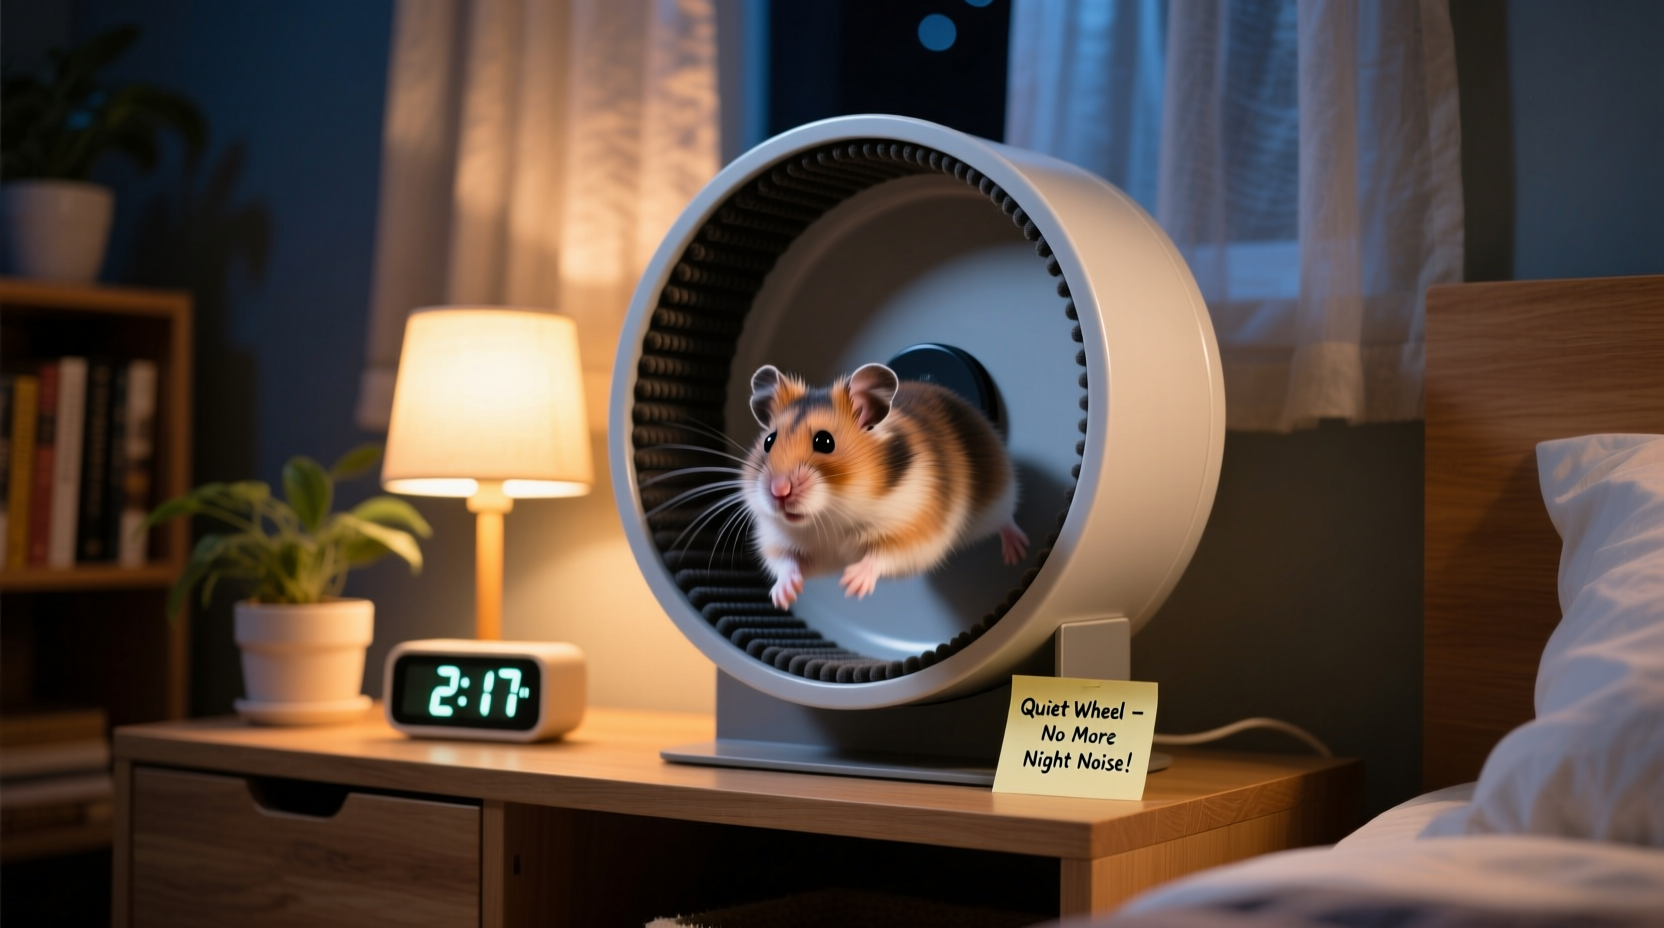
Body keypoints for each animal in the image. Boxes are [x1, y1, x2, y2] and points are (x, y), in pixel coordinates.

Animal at [744, 362, 1029, 610]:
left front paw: (852, 584)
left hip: (998, 497)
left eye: (824, 441)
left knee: (1006, 519)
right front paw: (782, 597)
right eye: (768, 441)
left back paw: (1018, 553)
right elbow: (786, 562)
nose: (779, 491)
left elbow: (882, 555)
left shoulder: (915, 528)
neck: (832, 515)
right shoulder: (781, 542)